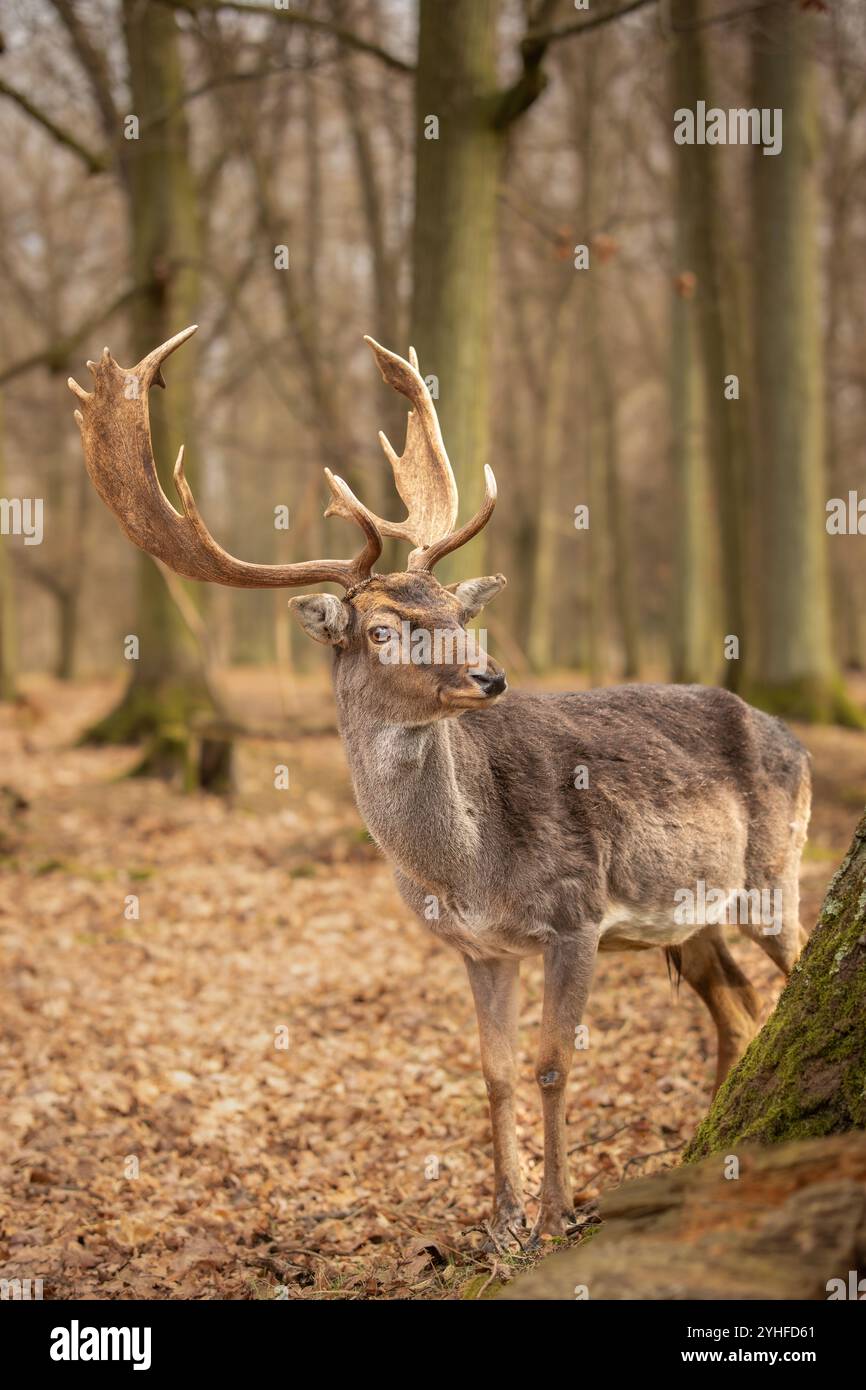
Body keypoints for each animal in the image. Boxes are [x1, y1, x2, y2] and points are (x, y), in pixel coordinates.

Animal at [69, 326, 811, 1245]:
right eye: (385, 629)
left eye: (459, 614)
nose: (490, 676)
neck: (469, 867)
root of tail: (794, 738)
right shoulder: (478, 948)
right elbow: (494, 1072)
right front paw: (501, 1218)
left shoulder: (577, 912)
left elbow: (552, 1065)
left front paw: (557, 1215)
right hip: (692, 913)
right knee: (739, 1010)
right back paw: (703, 1157)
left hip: (774, 869)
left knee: (795, 967)